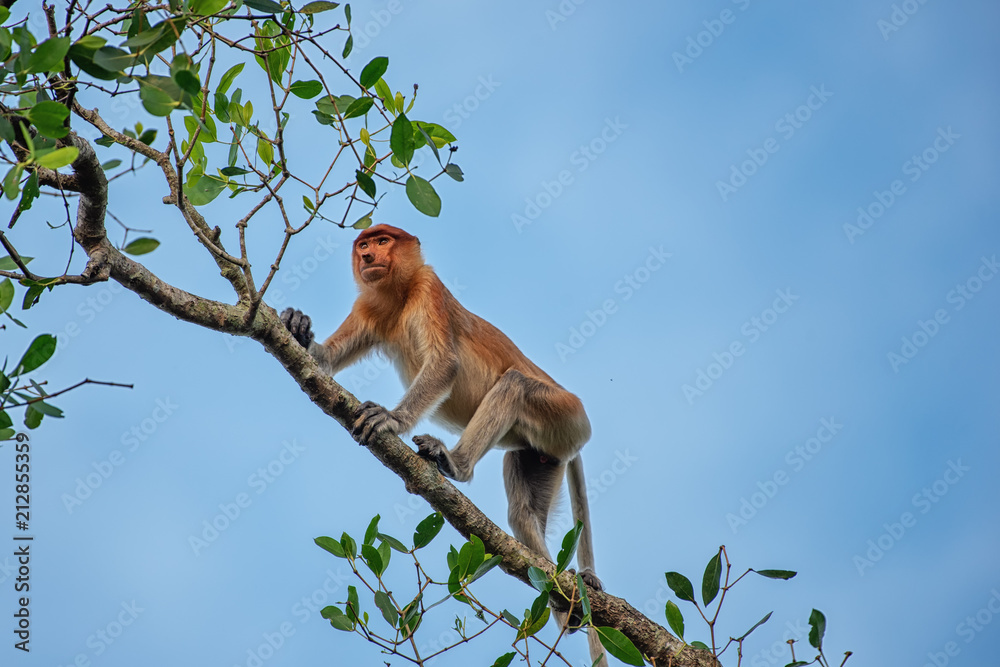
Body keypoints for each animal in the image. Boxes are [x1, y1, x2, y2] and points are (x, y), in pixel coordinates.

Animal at [281, 224, 605, 664]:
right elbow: (323, 362)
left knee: (516, 384)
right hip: (545, 452)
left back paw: (454, 463)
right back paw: (563, 602)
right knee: (522, 513)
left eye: (383, 240)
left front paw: (390, 419)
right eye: (363, 243)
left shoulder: (427, 289)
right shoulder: (369, 306)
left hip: (563, 413)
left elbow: (443, 364)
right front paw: (298, 328)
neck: (398, 294)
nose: (367, 257)